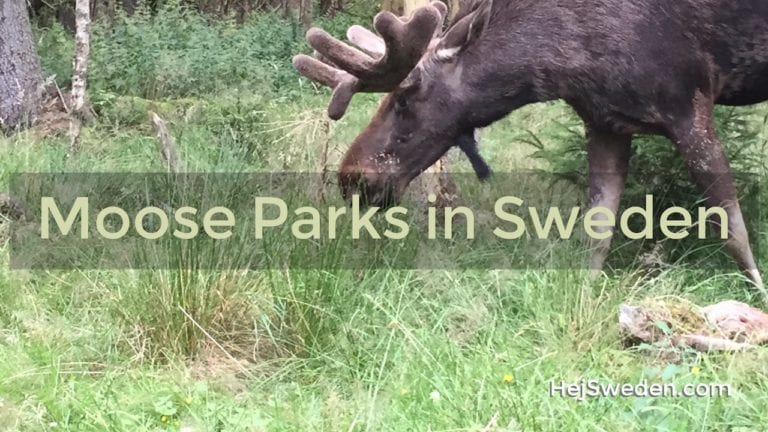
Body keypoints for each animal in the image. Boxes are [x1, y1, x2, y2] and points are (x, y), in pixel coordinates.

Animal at [292, 0, 766, 291]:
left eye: (405, 98)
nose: (352, 176)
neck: (565, 63)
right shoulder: (604, 121)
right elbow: (597, 231)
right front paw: (586, 298)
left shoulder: (689, 102)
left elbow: (733, 229)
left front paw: (757, 296)